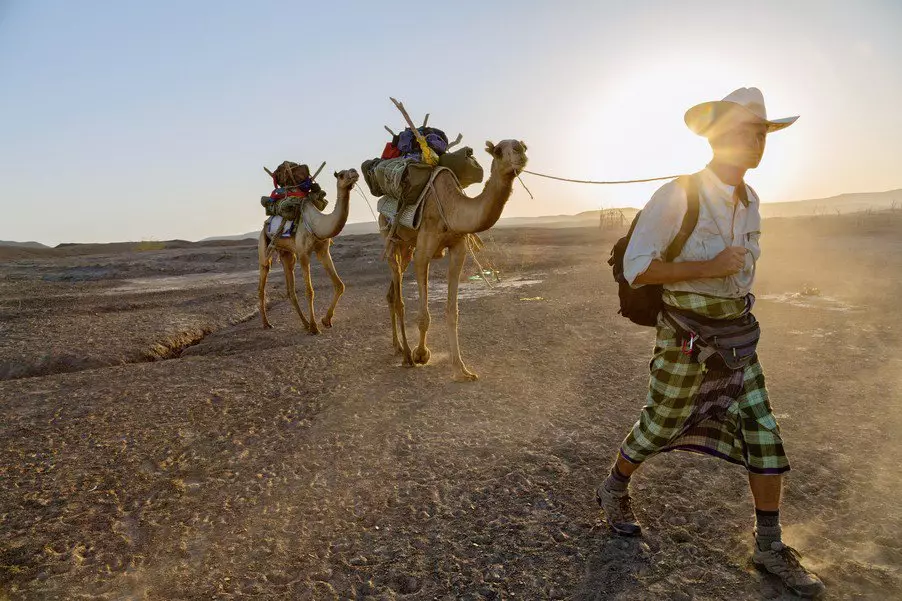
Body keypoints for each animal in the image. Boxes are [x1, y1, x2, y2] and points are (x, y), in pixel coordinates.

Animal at [258, 166, 360, 330]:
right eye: (341, 175)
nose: (354, 172)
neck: (317, 224)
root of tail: (267, 223)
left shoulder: (323, 250)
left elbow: (340, 285)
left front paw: (326, 320)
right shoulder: (303, 254)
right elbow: (309, 292)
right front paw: (314, 327)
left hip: (286, 254)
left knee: (290, 290)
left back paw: (304, 323)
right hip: (264, 245)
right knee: (262, 282)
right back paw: (267, 323)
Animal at [380, 139, 528, 380]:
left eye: (524, 146)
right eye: (498, 151)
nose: (519, 151)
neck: (452, 208)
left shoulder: (459, 248)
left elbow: (453, 312)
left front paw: (461, 369)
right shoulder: (423, 252)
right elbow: (424, 315)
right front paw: (421, 354)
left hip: (406, 246)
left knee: (392, 292)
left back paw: (398, 346)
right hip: (390, 238)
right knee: (399, 297)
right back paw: (406, 355)